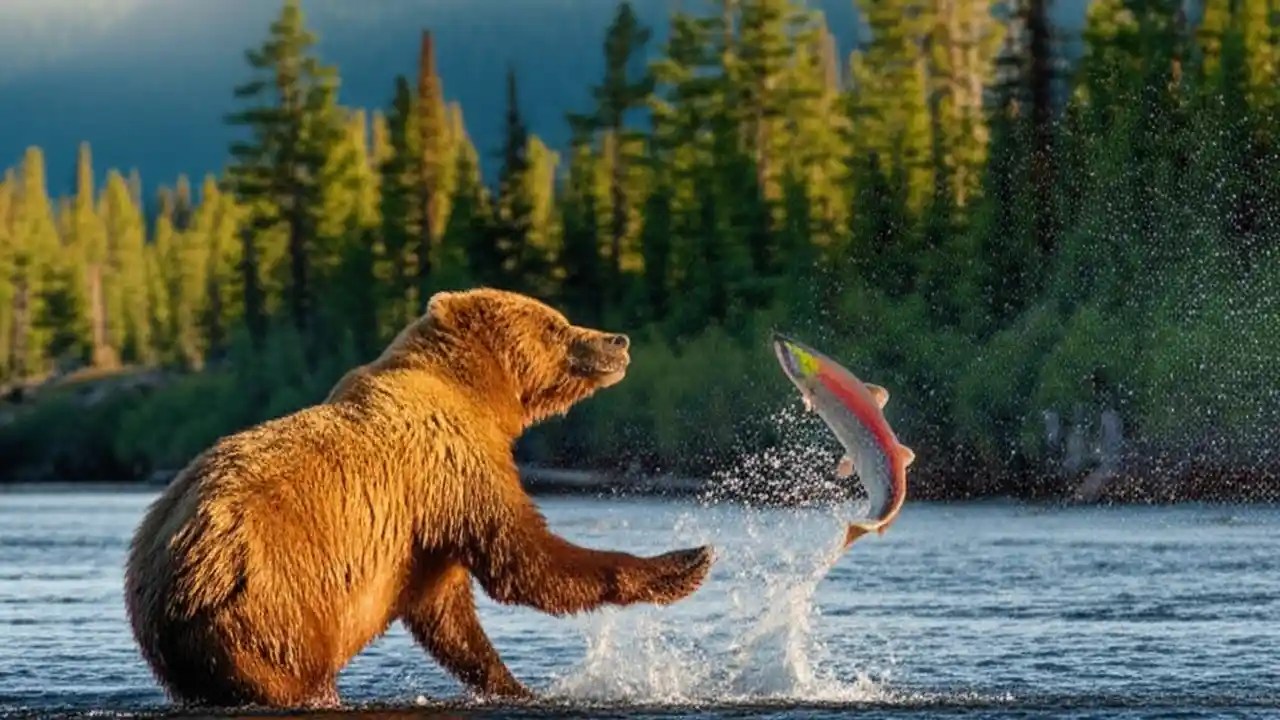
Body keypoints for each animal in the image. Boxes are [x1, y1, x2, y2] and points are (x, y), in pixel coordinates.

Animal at [123, 287, 716, 709]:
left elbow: (446, 610)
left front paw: (512, 684)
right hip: (272, 606)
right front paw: (685, 562)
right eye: (556, 323)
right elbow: (523, 558)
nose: (618, 340)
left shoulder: (425, 522)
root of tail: (171, 570)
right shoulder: (452, 467)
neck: (479, 395)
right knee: (295, 674)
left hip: (194, 645)